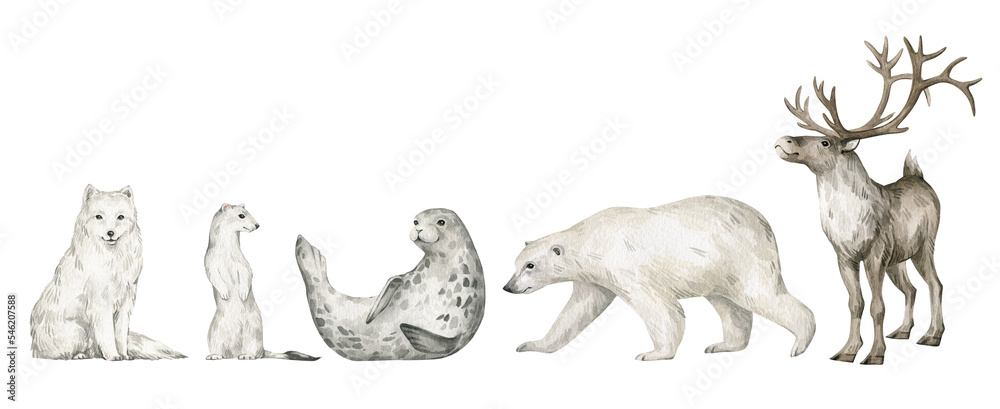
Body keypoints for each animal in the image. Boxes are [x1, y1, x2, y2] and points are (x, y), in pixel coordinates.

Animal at [773, 37, 979, 365]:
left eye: (825, 141)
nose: (784, 140)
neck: (849, 219)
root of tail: (919, 177)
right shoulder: (843, 256)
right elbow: (855, 303)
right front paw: (846, 351)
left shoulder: (875, 252)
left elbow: (877, 306)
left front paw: (874, 354)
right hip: (899, 258)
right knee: (911, 288)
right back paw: (903, 331)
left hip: (925, 244)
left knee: (935, 283)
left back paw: (932, 335)